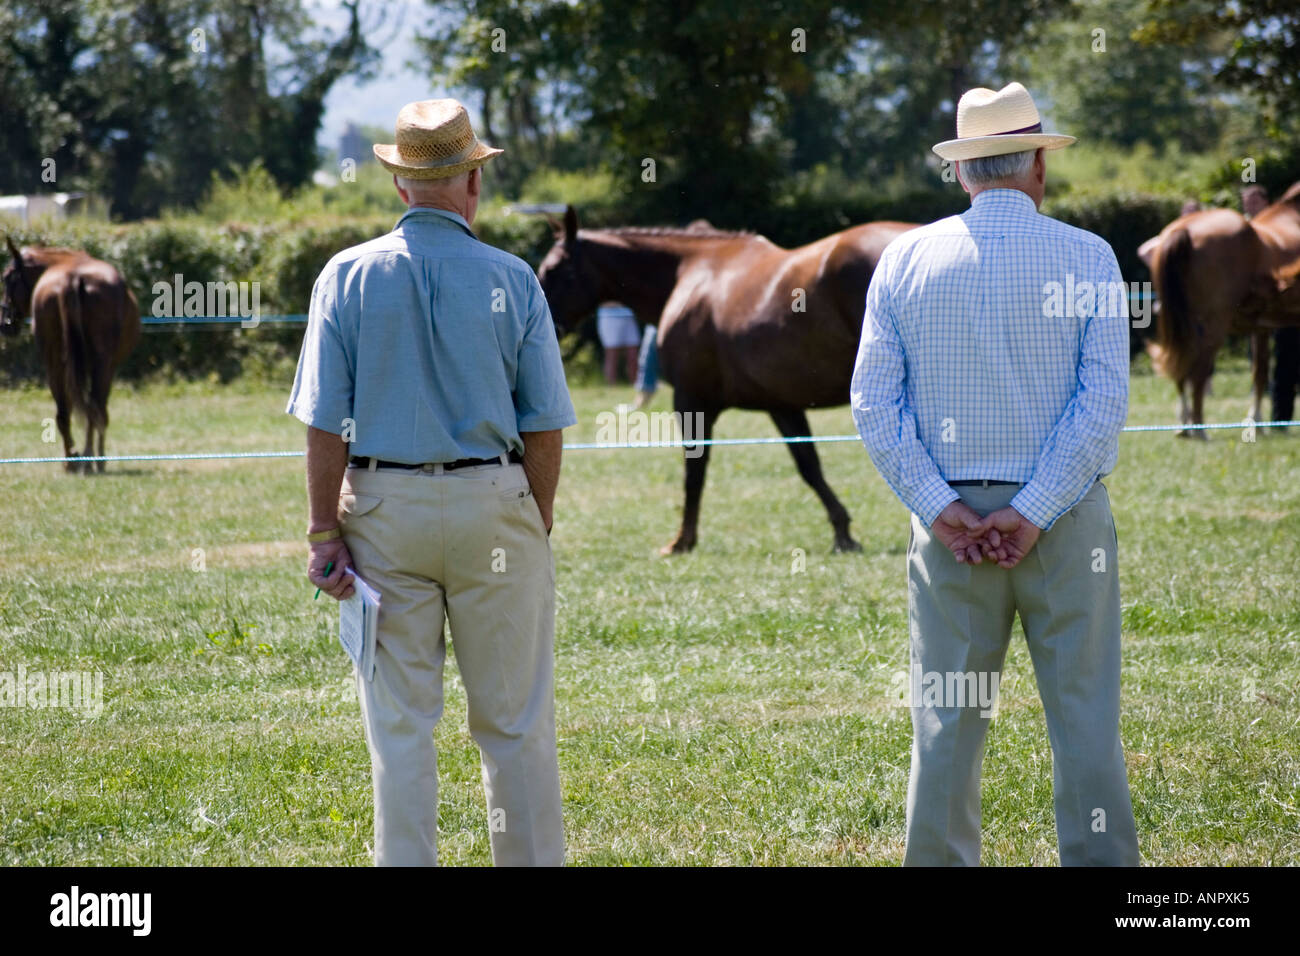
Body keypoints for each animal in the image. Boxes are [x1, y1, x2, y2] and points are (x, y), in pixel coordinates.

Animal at [2, 238, 140, 472]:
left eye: (5, 278)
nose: (5, 323)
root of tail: (72, 278)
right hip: (100, 364)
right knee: (94, 406)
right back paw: (91, 457)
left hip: (56, 363)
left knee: (66, 411)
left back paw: (74, 459)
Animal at [537, 206, 917, 554]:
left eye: (553, 269)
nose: (545, 327)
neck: (690, 273)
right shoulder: (781, 405)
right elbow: (809, 466)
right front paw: (842, 532)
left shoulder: (692, 401)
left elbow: (694, 471)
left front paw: (682, 541)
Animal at [1148, 182, 1300, 435]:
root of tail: (1183, 230)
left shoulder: (1261, 327)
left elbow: (1259, 372)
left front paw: (1256, 421)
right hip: (1213, 324)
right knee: (1198, 371)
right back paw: (1198, 429)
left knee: (1182, 367)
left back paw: (1185, 425)